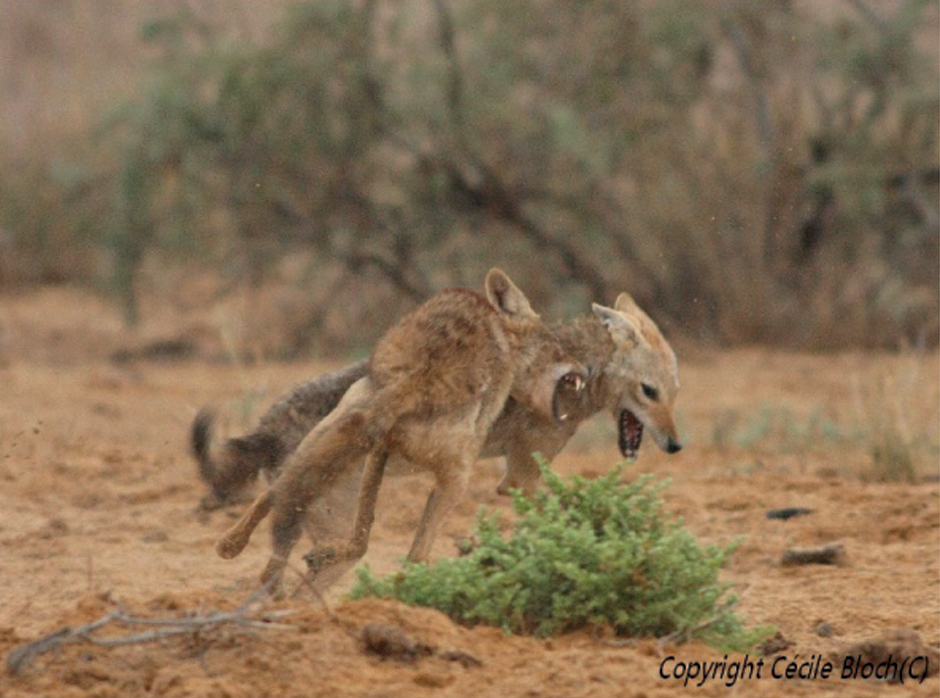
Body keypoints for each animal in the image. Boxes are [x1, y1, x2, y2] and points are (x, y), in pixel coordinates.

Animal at [216, 269, 586, 589]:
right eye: (557, 347)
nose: (584, 369)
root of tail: (420, 377)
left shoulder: (381, 445)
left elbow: (363, 528)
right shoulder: (432, 468)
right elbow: (408, 547)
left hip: (339, 431)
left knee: (283, 493)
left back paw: (237, 548)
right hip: (456, 477)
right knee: (410, 551)